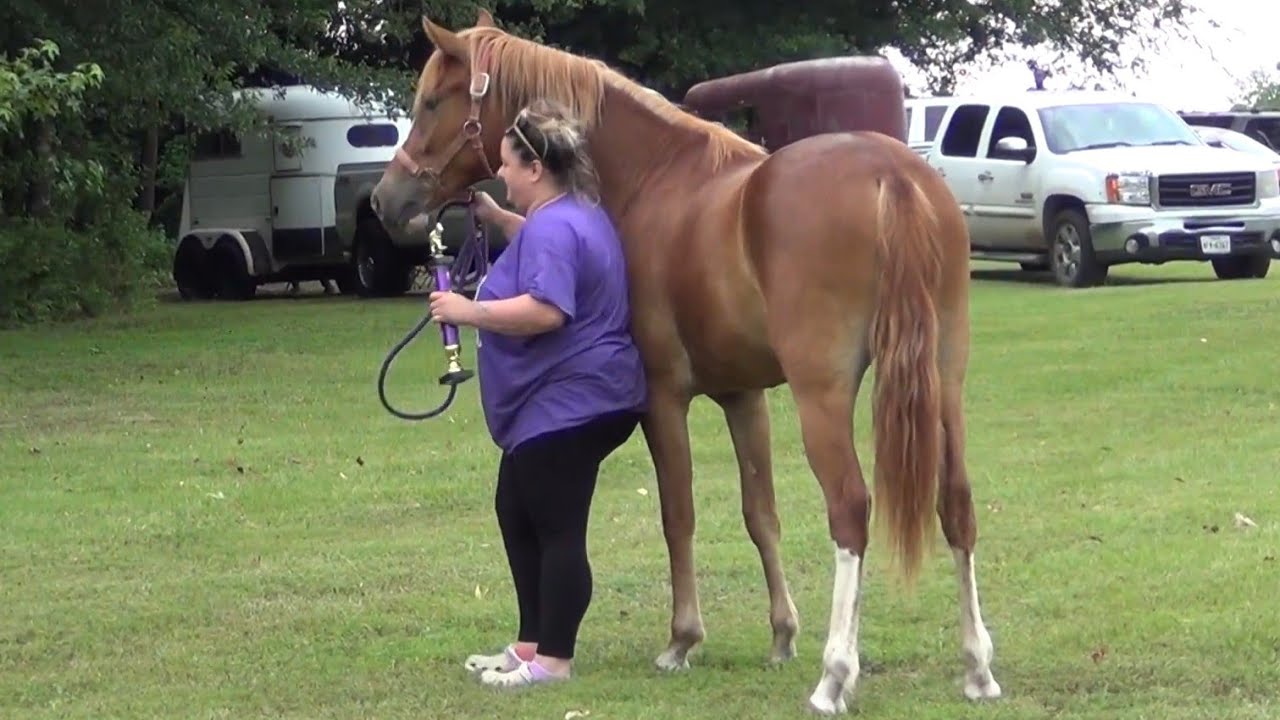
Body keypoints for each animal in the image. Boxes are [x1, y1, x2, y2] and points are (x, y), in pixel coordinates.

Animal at [369, 10, 1002, 713]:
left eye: (432, 101)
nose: (385, 201)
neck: (655, 181)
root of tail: (891, 174)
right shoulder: (743, 396)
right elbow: (761, 515)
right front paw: (781, 634)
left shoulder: (663, 397)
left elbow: (678, 516)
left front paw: (682, 640)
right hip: (943, 380)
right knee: (957, 504)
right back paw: (977, 668)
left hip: (824, 393)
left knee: (849, 511)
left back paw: (836, 675)